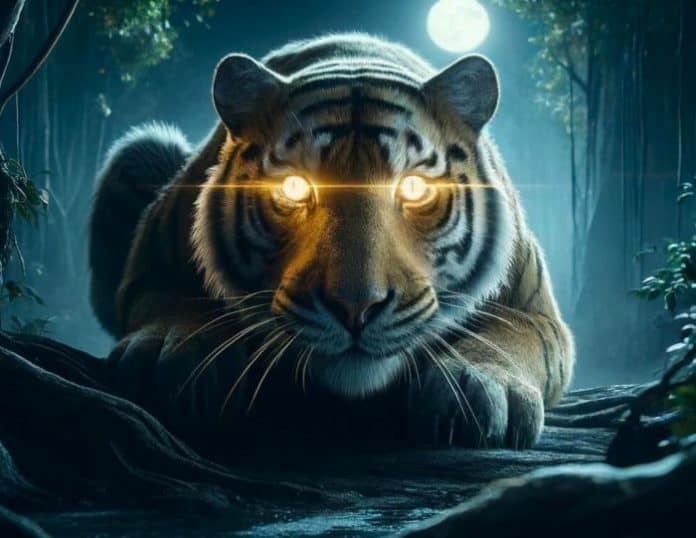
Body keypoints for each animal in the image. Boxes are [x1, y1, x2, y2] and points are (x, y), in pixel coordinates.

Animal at [89, 33, 574, 450]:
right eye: (294, 188)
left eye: (414, 188)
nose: (355, 308)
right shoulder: (153, 262)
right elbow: (169, 302)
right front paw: (170, 353)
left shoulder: (536, 309)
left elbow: (516, 336)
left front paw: (481, 386)